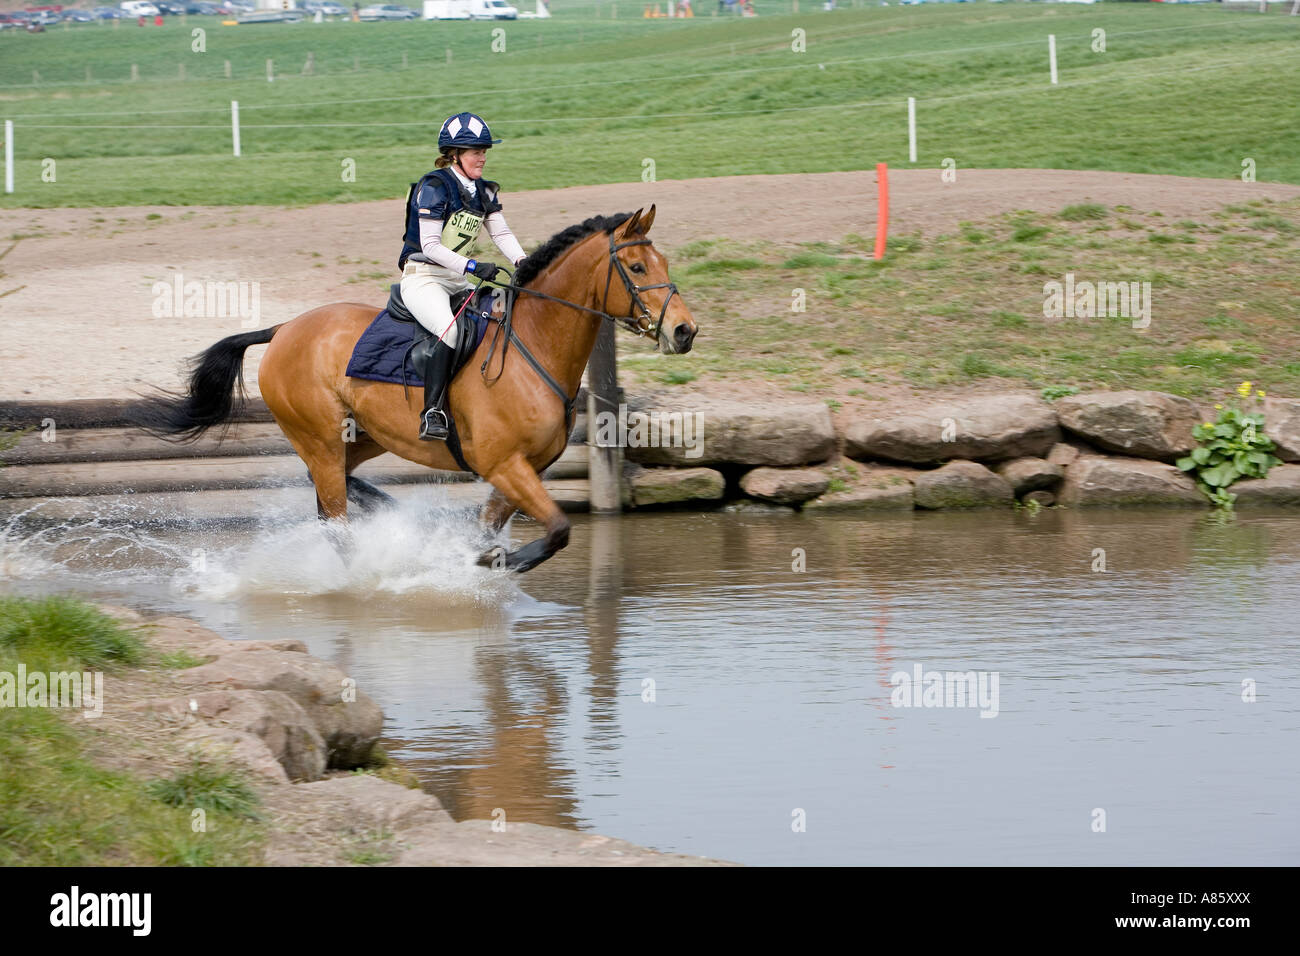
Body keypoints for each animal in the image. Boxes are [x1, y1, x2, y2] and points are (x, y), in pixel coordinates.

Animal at [133, 206, 698, 574]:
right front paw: (495, 561)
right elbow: (558, 529)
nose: (684, 332)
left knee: (333, 484)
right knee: (333, 514)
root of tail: (284, 330)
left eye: (664, 263)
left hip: (365, 435)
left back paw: (384, 511)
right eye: (637, 267)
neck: (532, 347)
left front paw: (485, 557)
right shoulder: (505, 465)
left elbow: (497, 526)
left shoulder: (525, 470)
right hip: (318, 433)